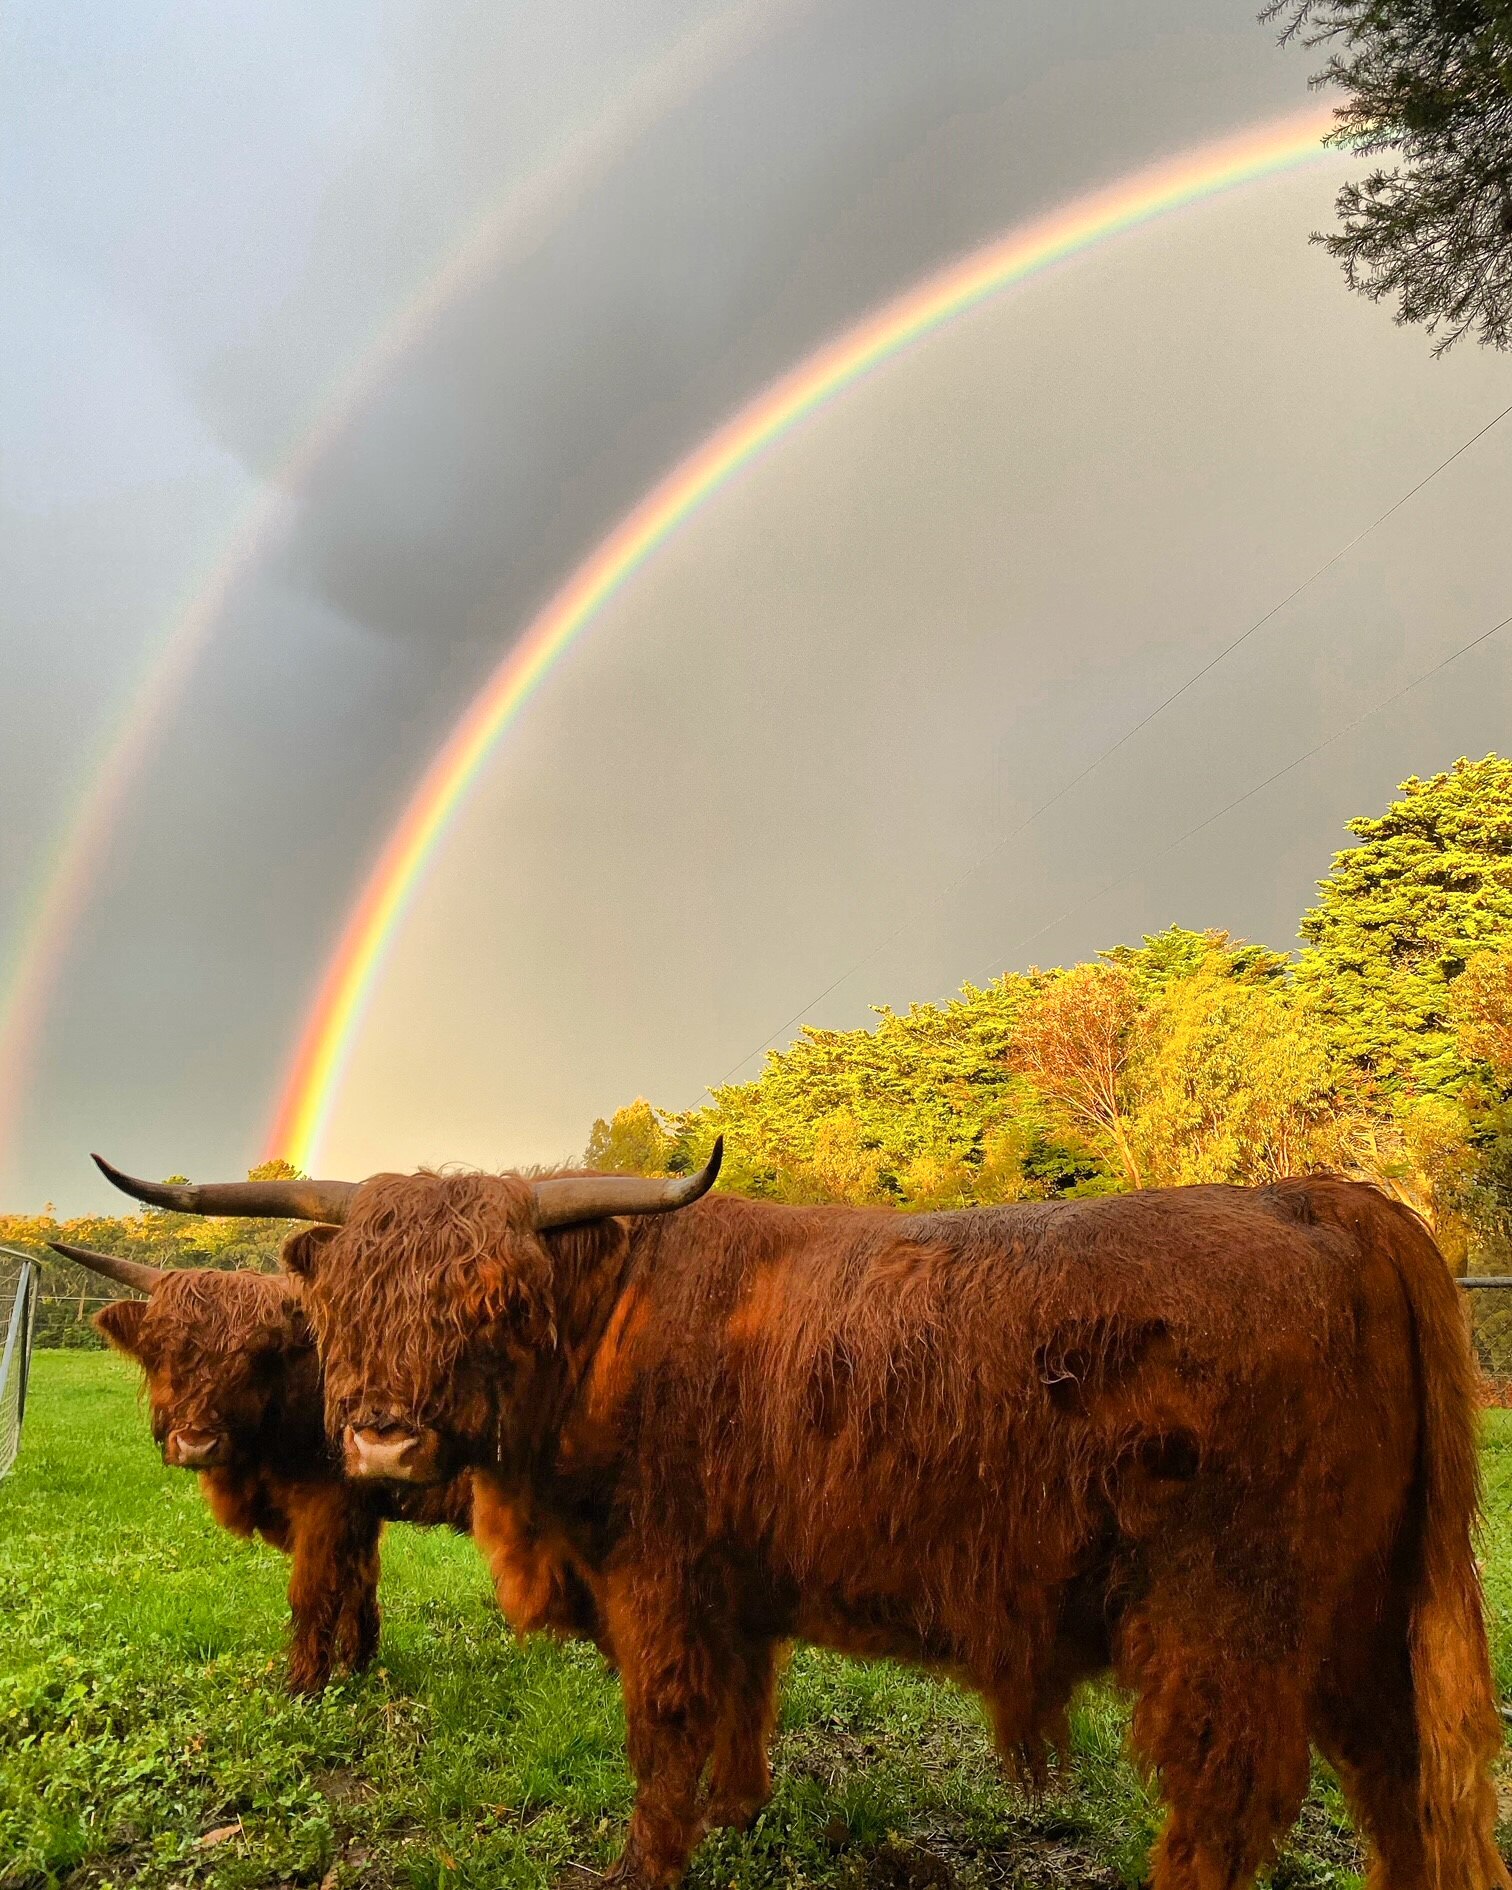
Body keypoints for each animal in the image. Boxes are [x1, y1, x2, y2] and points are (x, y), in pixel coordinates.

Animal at [95, 1148, 1510, 1890]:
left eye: (492, 1301)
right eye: (350, 1304)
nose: (380, 1438)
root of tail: (1320, 1197)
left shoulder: (658, 1575)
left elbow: (664, 1727)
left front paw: (650, 1863)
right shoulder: (735, 1576)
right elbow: (744, 1700)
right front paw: (739, 1812)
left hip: (1228, 1618)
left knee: (1226, 1799)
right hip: (1356, 1619)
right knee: (1396, 1778)